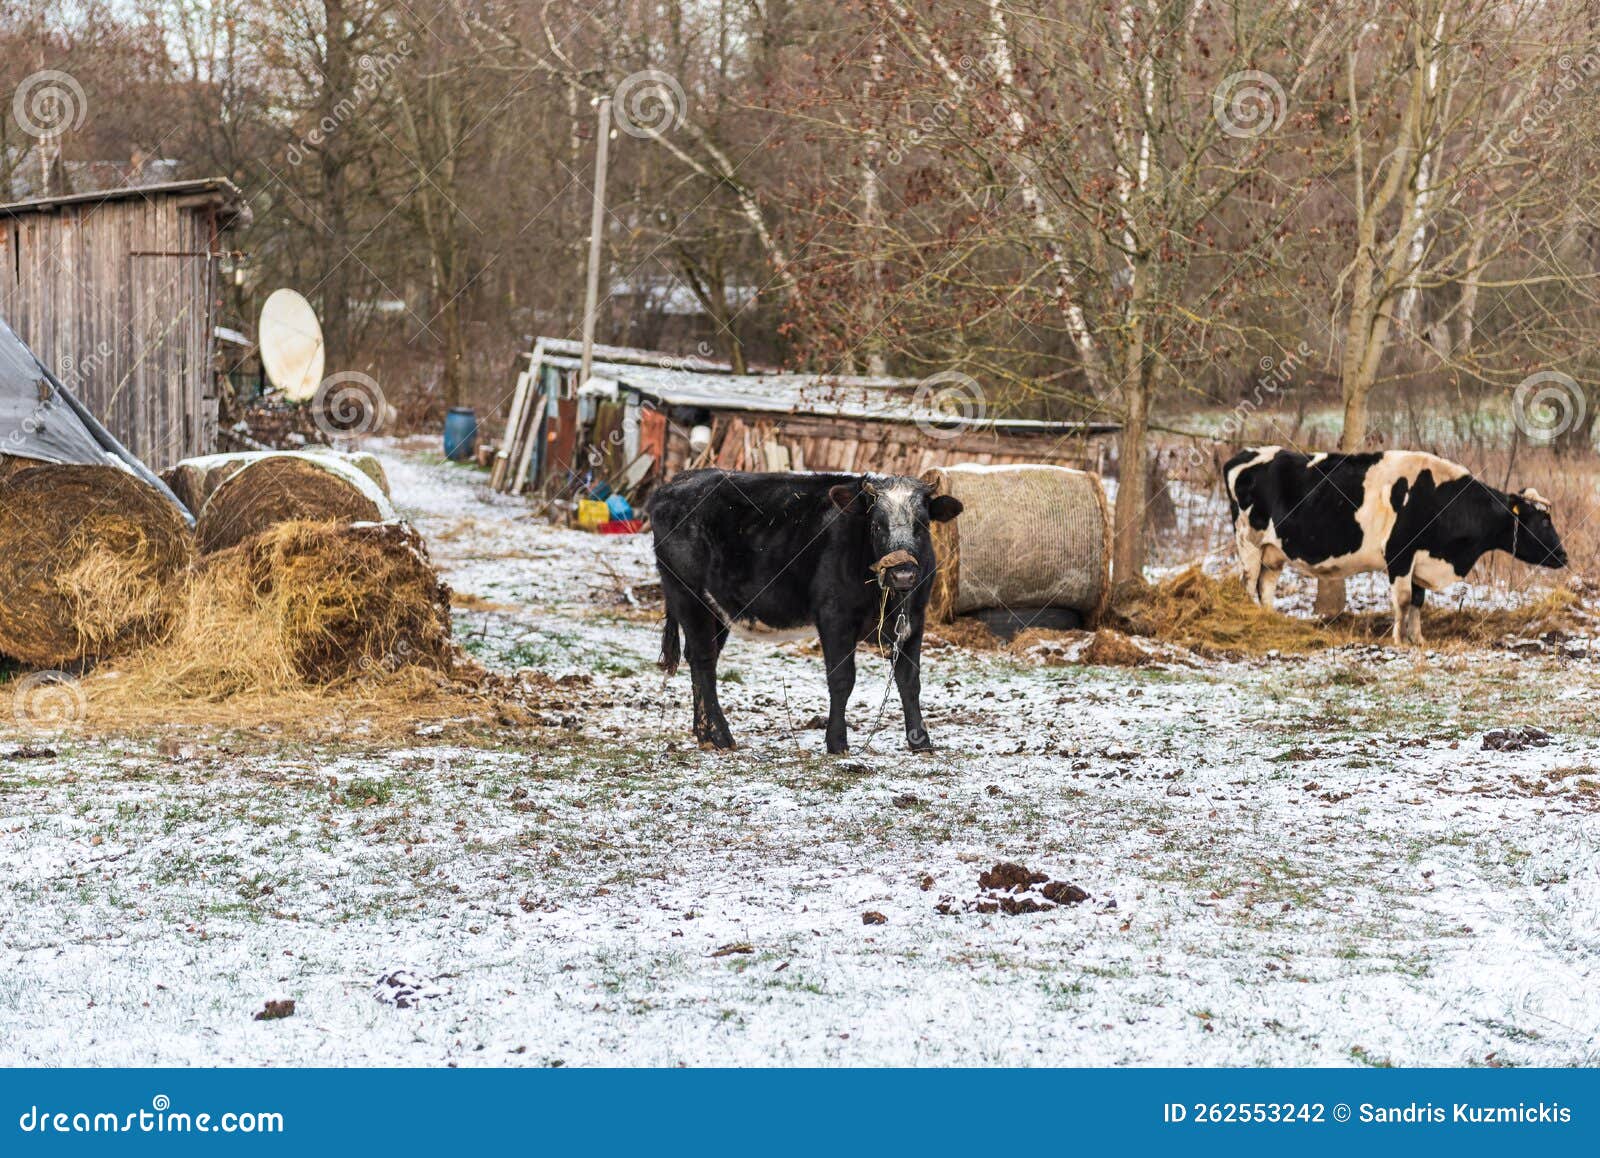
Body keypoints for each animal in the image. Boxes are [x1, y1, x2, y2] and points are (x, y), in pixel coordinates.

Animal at [648, 470, 963, 753]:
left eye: (922, 524)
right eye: (876, 525)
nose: (903, 574)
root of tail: (675, 484)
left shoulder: (914, 621)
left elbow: (909, 681)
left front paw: (920, 742)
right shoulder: (835, 617)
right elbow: (842, 679)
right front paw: (837, 743)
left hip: (717, 610)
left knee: (700, 659)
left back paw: (704, 734)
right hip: (687, 595)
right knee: (703, 660)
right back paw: (720, 736)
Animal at [1224, 447, 1567, 644]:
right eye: (1543, 521)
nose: (1563, 555)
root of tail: (1244, 454)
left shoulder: (1420, 560)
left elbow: (1418, 600)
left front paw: (1418, 639)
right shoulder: (1400, 554)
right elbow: (1402, 600)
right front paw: (1400, 641)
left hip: (1273, 550)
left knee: (1266, 585)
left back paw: (1270, 619)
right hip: (1248, 542)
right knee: (1248, 584)